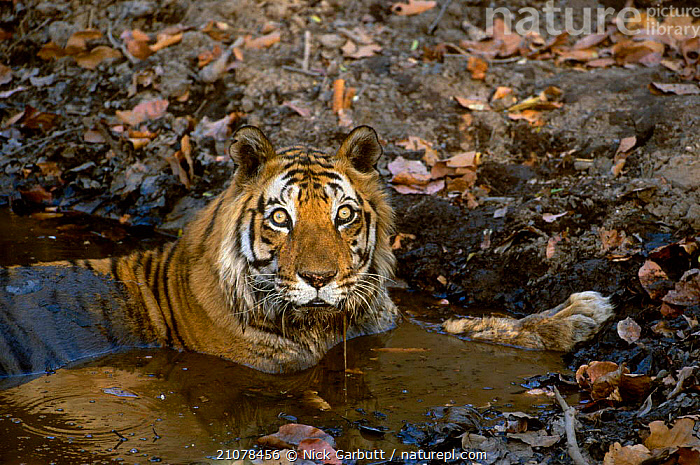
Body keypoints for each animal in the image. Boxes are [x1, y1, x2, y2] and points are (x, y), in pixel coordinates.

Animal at [0, 125, 613, 378]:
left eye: (343, 215)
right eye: (280, 218)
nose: (319, 279)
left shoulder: (382, 325)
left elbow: (472, 326)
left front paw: (577, 314)